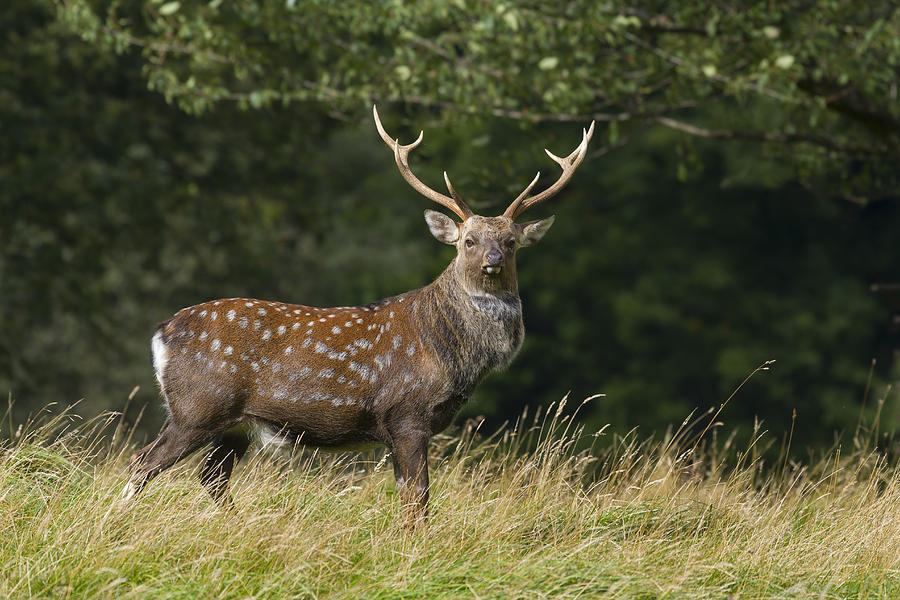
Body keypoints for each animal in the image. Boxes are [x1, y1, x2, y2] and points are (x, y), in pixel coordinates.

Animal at [122, 106, 594, 525]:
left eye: (512, 242)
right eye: (468, 241)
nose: (493, 260)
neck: (451, 354)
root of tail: (161, 332)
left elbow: (408, 500)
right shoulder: (407, 414)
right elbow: (419, 502)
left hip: (234, 423)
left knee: (211, 477)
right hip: (198, 406)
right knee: (141, 464)